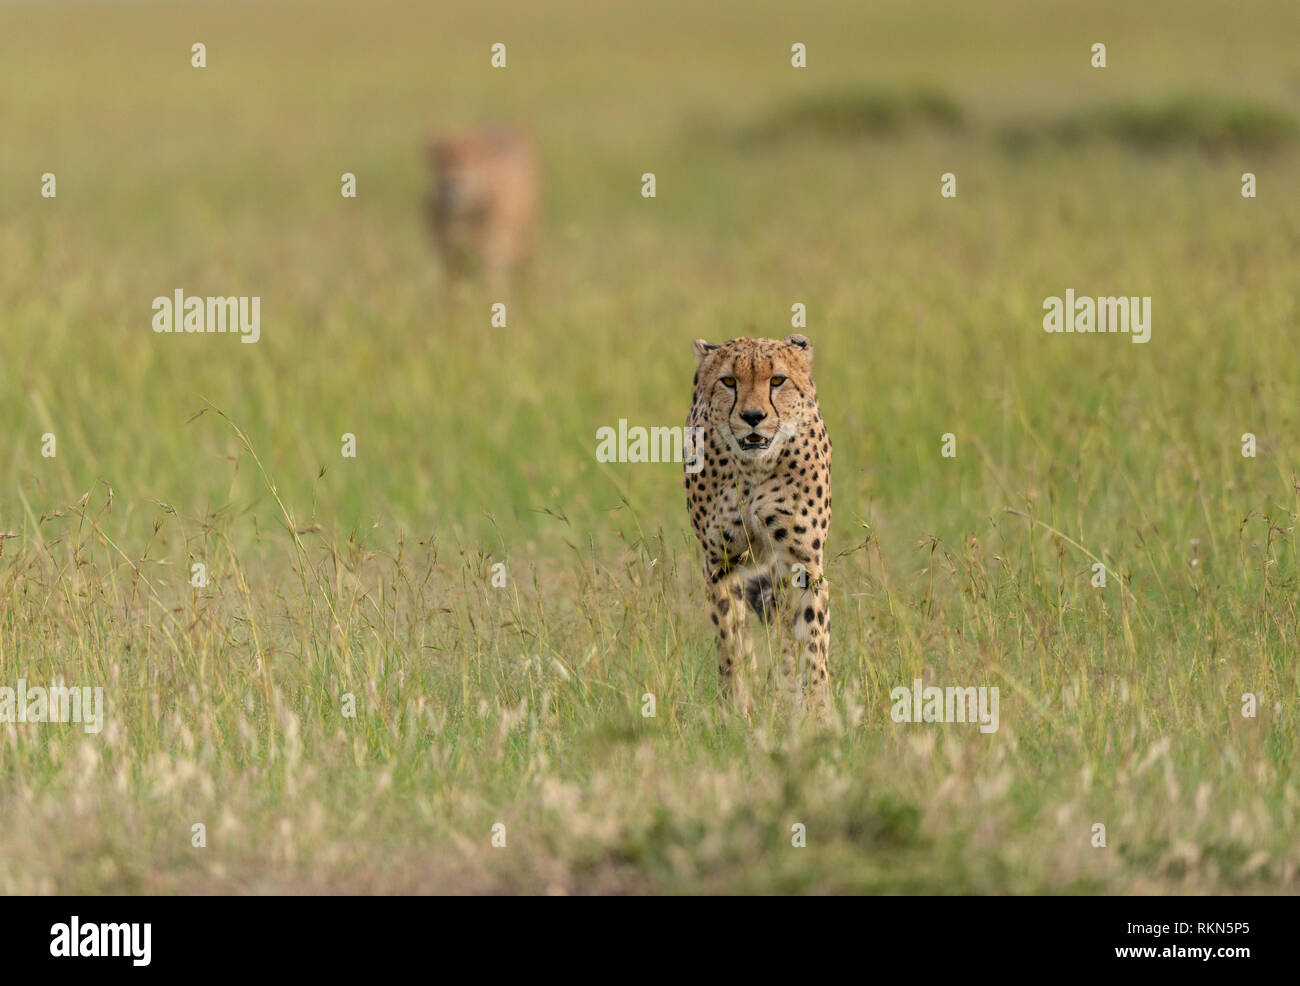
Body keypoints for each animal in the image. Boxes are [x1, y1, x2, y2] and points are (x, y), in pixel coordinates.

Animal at [684, 333, 832, 712]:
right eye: (729, 381)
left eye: (777, 380)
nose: (753, 416)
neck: (754, 468)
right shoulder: (720, 562)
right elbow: (731, 638)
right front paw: (737, 706)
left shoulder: (804, 562)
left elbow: (811, 639)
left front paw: (816, 709)